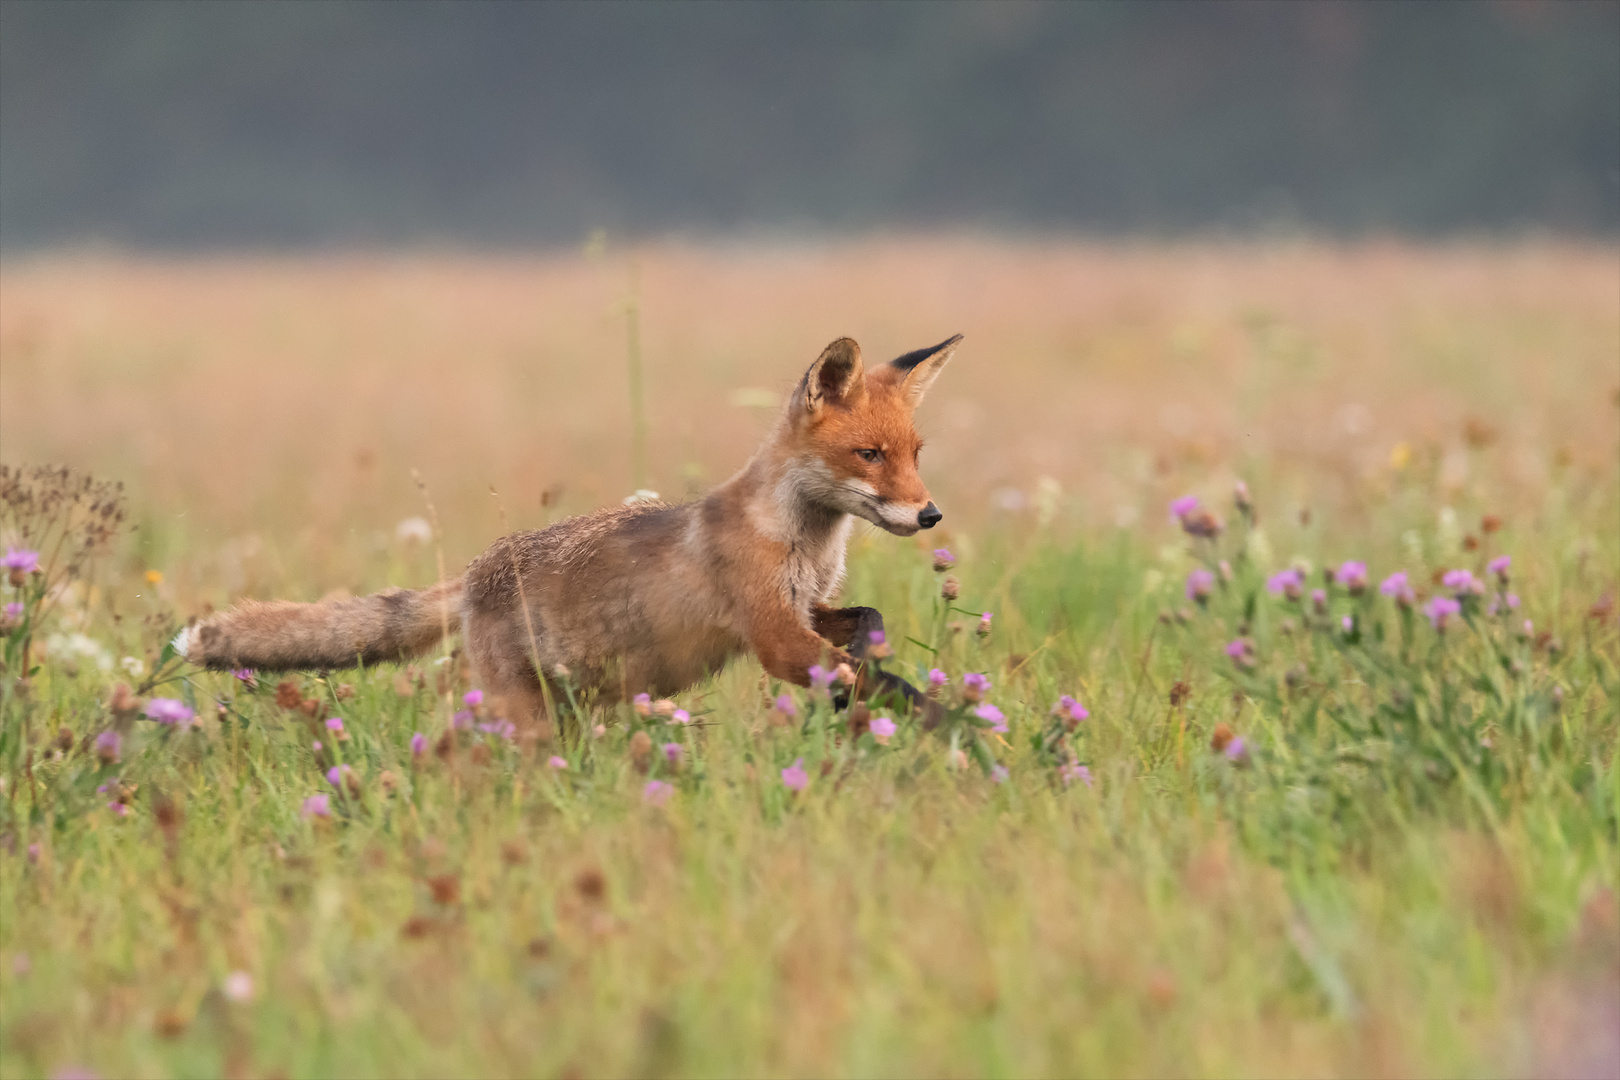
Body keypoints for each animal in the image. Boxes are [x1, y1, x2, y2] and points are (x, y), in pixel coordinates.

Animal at [175, 334, 961, 722]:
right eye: (869, 455)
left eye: (916, 455)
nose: (929, 514)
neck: (805, 539)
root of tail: (472, 574)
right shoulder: (771, 635)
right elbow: (879, 684)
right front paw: (938, 719)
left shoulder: (805, 608)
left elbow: (866, 623)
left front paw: (868, 666)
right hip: (520, 714)